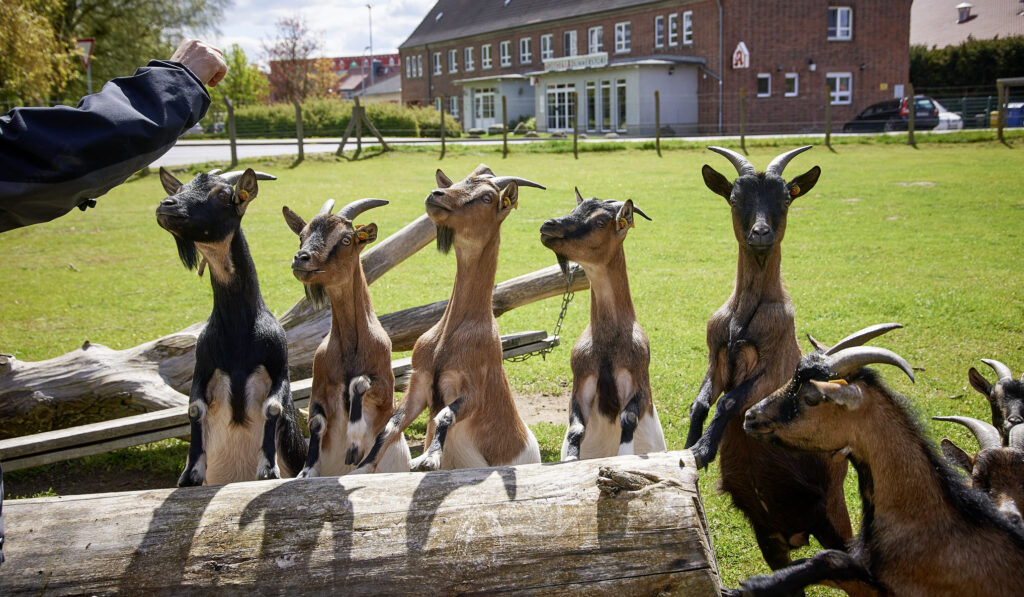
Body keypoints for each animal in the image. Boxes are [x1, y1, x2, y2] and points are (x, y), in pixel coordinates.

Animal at [157, 167, 306, 486]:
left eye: (223, 194)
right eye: (180, 188)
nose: (166, 205)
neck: (240, 334)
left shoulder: (279, 362)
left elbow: (273, 405)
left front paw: (267, 467)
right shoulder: (203, 366)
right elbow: (194, 408)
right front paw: (191, 472)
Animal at [282, 198, 411, 476]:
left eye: (346, 239)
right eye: (301, 235)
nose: (301, 259)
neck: (352, 348)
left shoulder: (385, 391)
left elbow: (358, 383)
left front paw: (353, 444)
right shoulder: (319, 386)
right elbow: (317, 421)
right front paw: (307, 471)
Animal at [354, 165, 544, 473]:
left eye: (487, 197)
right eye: (456, 182)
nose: (436, 194)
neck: (449, 335)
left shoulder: (473, 390)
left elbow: (444, 414)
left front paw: (429, 458)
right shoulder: (420, 382)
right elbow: (392, 424)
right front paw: (362, 467)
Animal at [539, 188, 666, 460]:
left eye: (599, 222)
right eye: (575, 209)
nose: (548, 225)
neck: (608, 342)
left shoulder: (639, 380)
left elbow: (628, 418)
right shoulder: (582, 381)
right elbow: (576, 427)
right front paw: (572, 459)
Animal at [683, 147, 856, 574]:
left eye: (786, 199)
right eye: (734, 198)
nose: (760, 234)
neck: (744, 317)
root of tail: (798, 533)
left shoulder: (770, 371)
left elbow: (729, 401)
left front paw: (703, 451)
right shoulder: (716, 358)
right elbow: (701, 402)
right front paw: (689, 447)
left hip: (832, 511)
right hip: (770, 535)